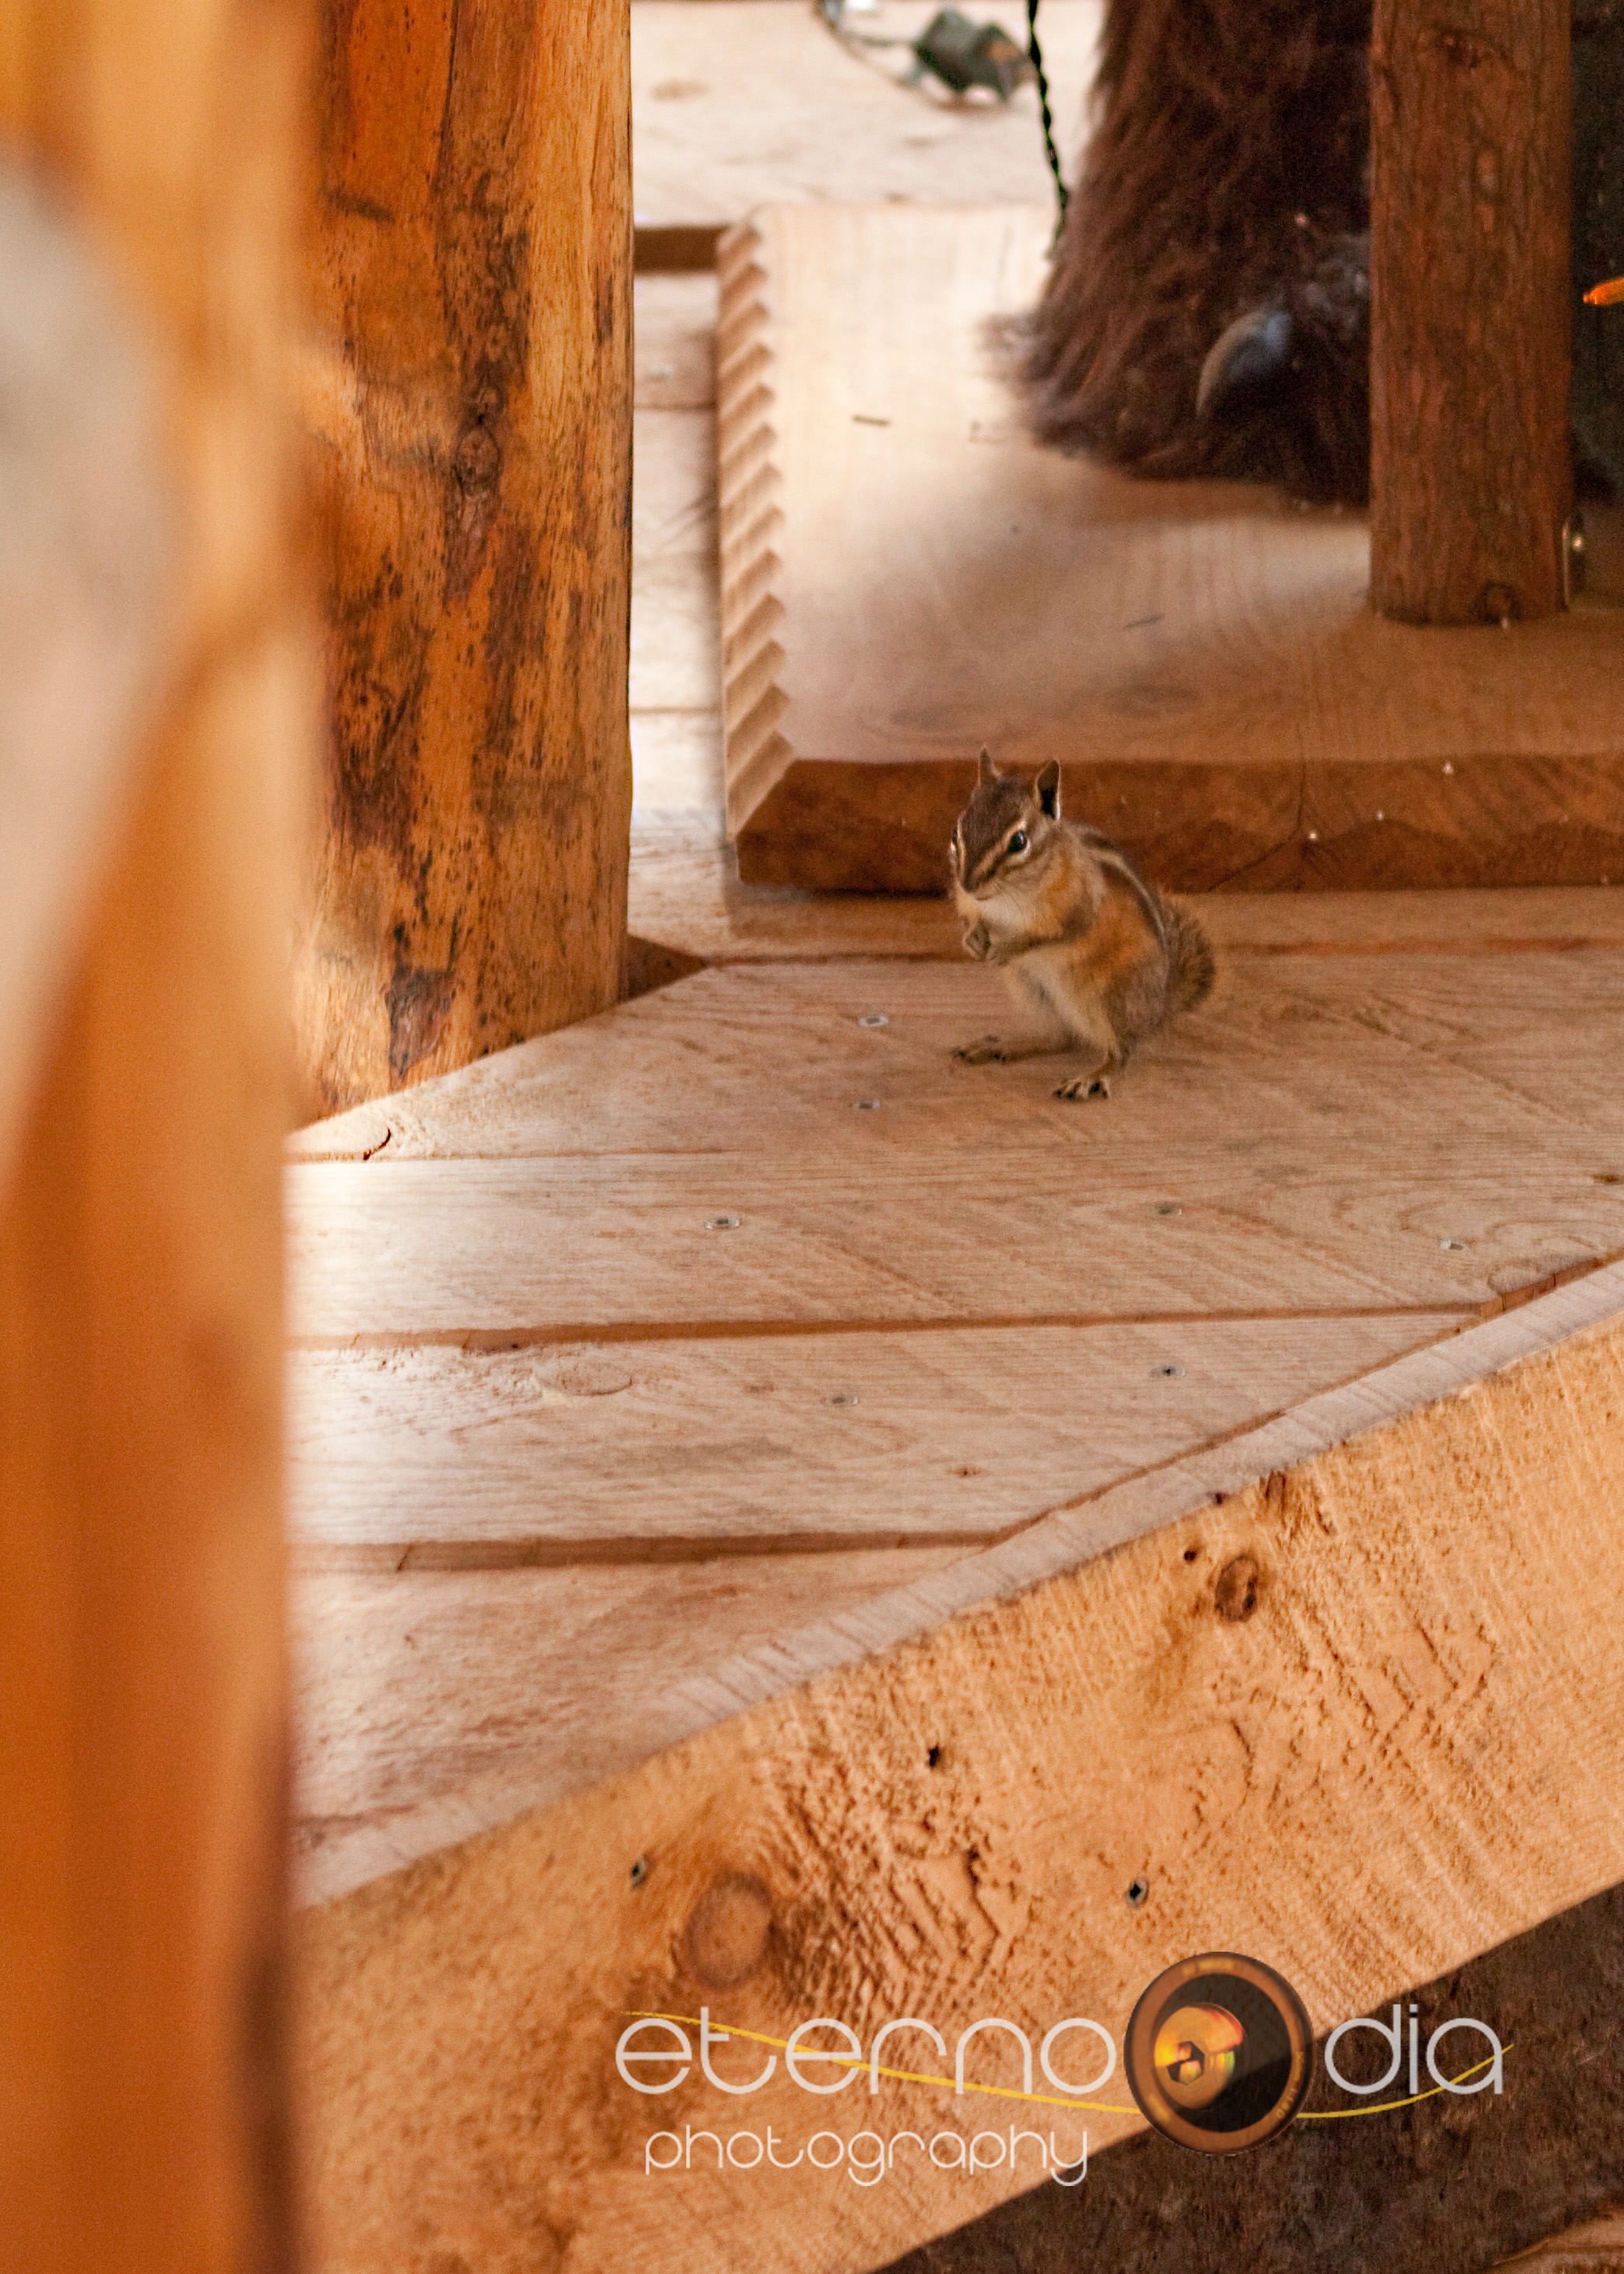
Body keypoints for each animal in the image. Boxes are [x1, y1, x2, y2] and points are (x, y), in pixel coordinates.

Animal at [949, 749, 1215, 1100]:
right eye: (957, 832)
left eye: (1019, 841)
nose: (968, 884)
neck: (1007, 897)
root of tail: (1160, 1008)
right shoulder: (975, 906)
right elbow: (974, 920)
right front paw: (973, 941)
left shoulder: (1080, 906)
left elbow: (1057, 933)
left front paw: (1007, 948)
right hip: (1033, 992)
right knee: (1060, 1038)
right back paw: (1002, 1046)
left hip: (1116, 997)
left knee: (1121, 1052)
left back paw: (1092, 1076)